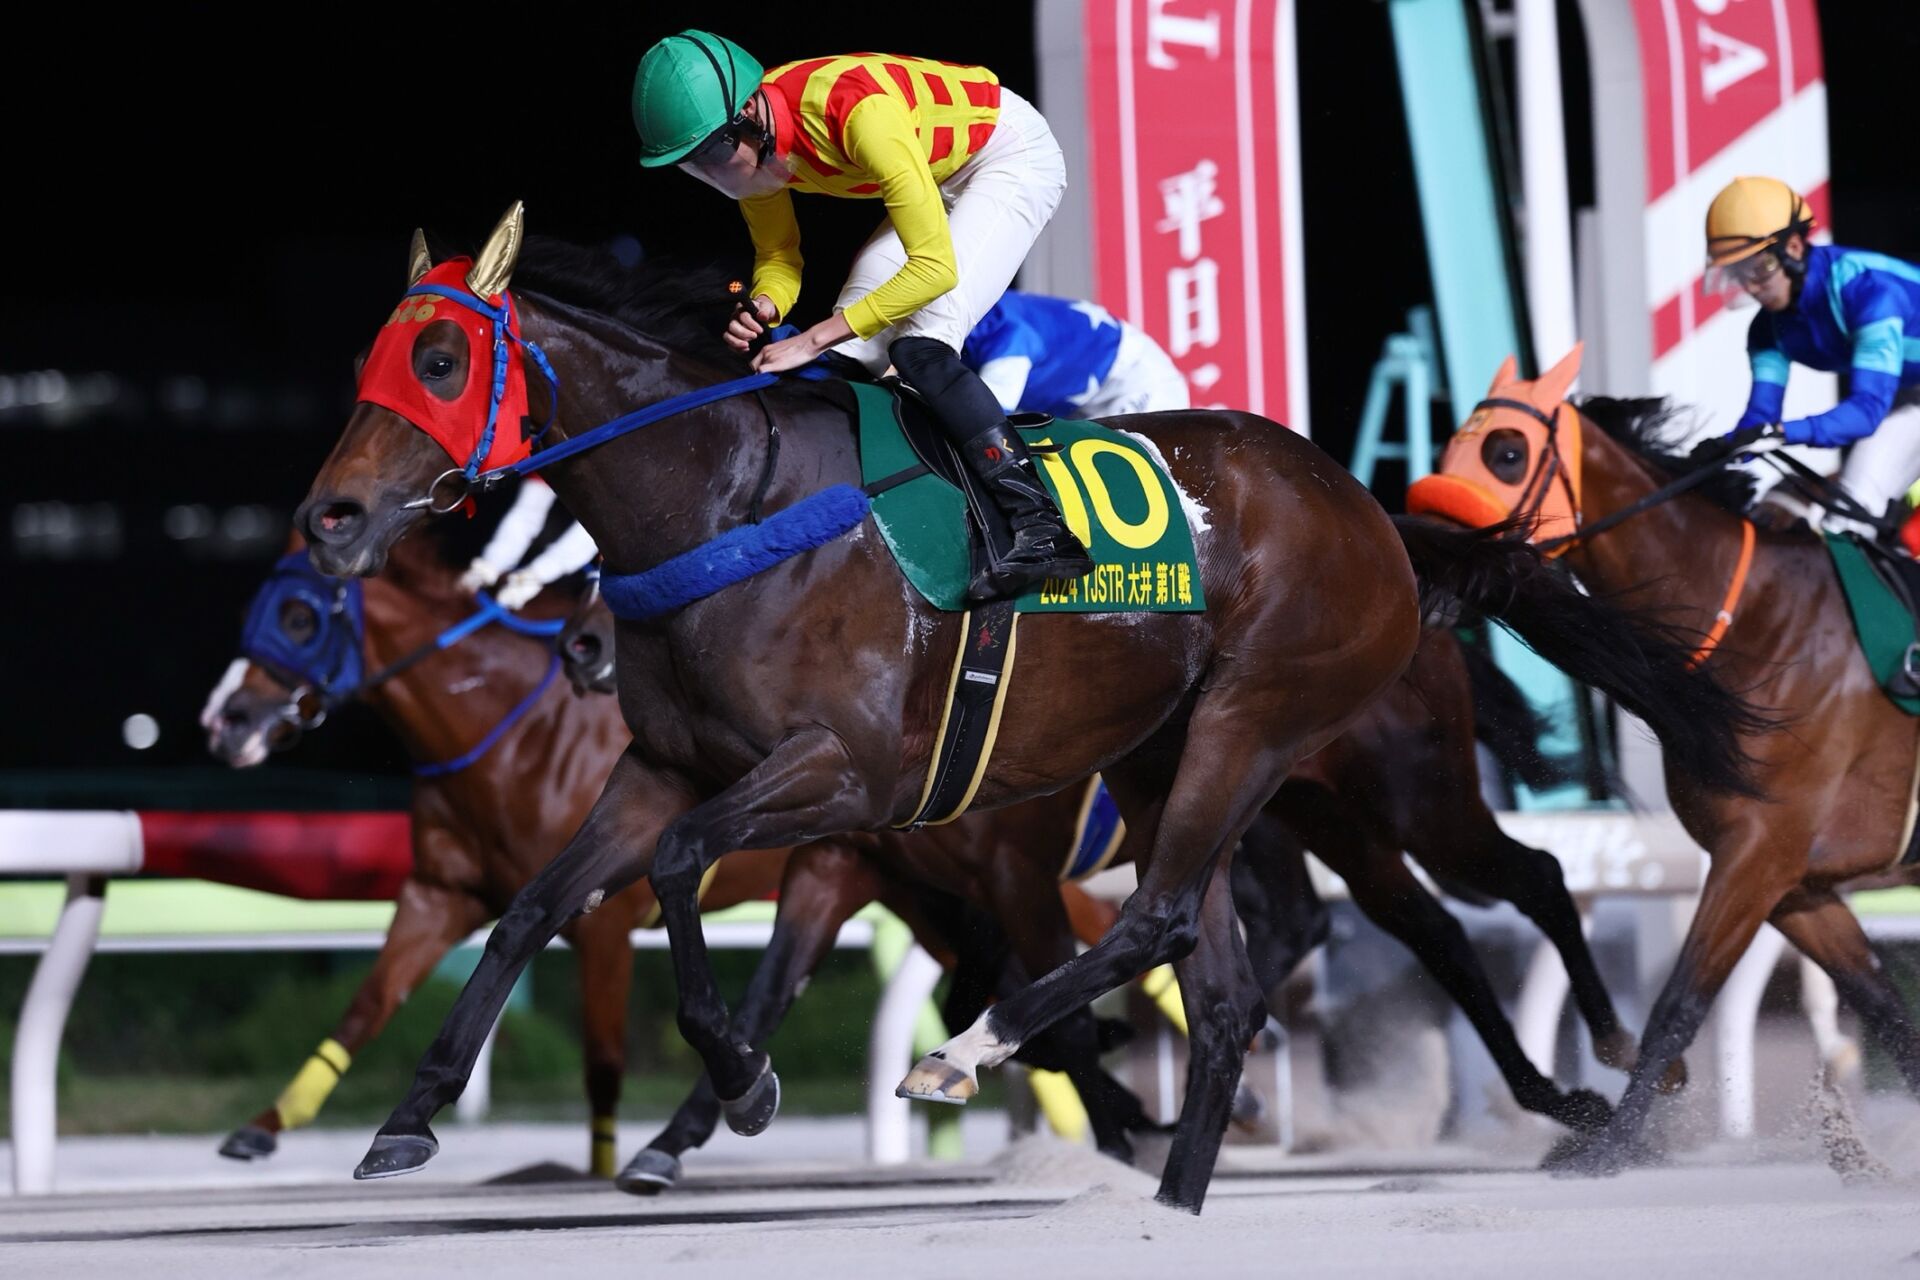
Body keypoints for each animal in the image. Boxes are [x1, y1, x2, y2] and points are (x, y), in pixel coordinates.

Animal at [295, 213, 1760, 1210]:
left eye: (441, 355)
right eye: (375, 350)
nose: (334, 515)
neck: (730, 504)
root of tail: (1373, 512)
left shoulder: (848, 777)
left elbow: (676, 875)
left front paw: (743, 1083)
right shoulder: (670, 767)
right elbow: (538, 907)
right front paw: (409, 1116)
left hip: (1292, 740)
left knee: (1304, 910)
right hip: (1189, 762)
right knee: (1232, 970)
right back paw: (1174, 1197)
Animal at [1406, 344, 1920, 1173]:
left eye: (1506, 453)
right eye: (1450, 443)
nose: (1420, 561)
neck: (1758, 621)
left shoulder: (1756, 854)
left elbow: (1680, 1002)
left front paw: (1610, 1147)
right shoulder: (1795, 881)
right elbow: (1882, 1001)